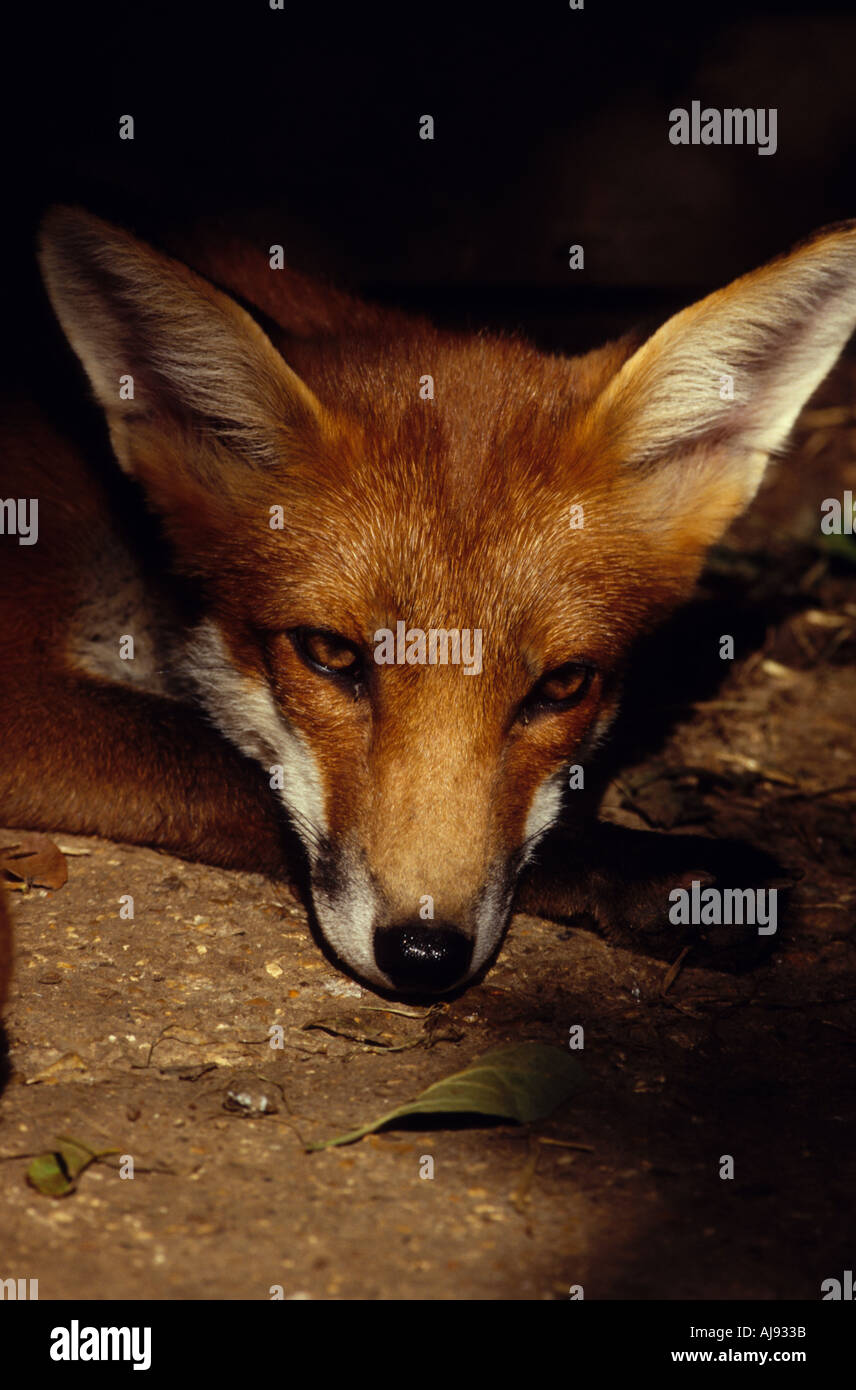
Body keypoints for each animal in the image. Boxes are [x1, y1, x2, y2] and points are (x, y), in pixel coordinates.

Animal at [1, 208, 855, 1005]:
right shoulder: (23, 698)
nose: (422, 954)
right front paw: (652, 872)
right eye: (330, 654)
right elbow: (220, 763)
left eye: (564, 686)